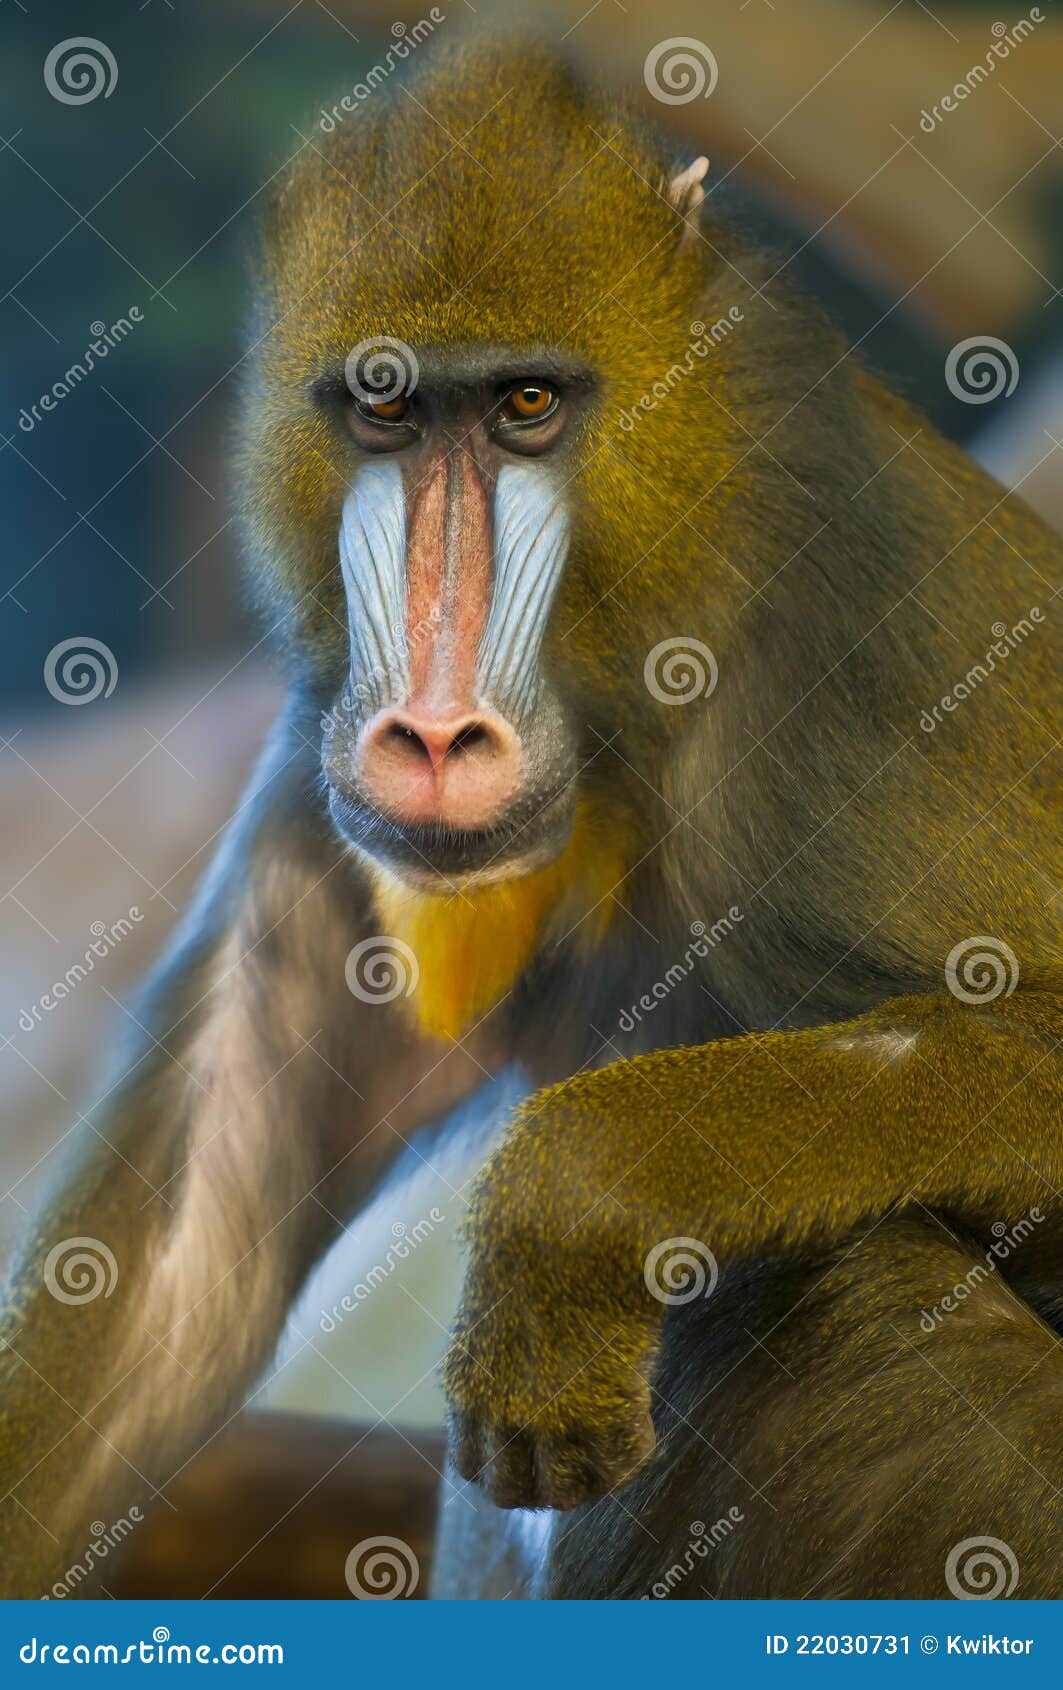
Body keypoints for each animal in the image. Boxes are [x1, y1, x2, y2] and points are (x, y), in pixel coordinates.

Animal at [1, 37, 1060, 1602]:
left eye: (524, 409)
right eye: (385, 409)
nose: (438, 736)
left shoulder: (836, 693)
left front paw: (581, 1201)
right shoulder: (327, 786)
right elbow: (184, 1265)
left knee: (881, 1307)